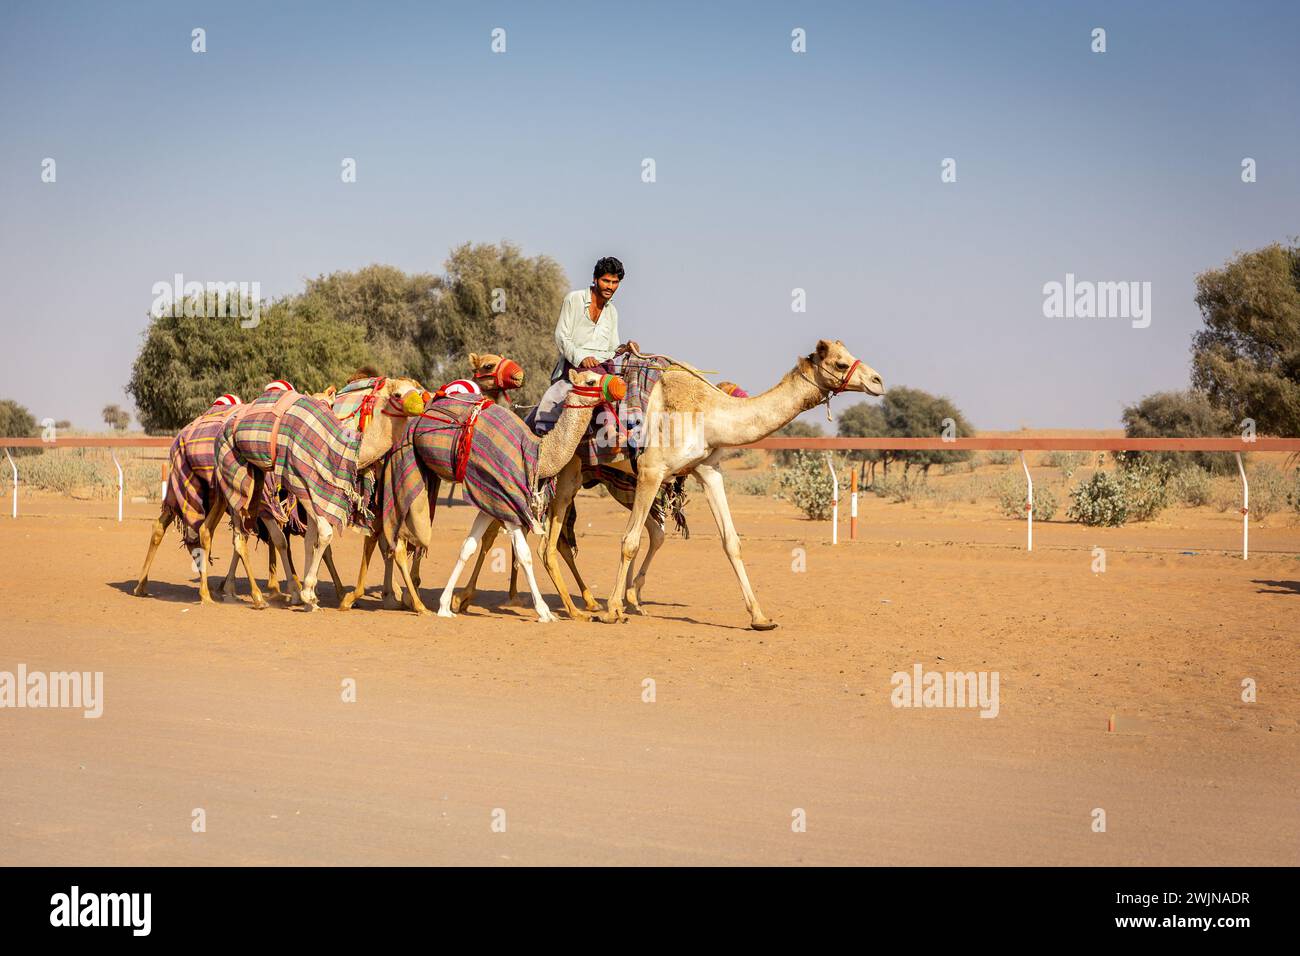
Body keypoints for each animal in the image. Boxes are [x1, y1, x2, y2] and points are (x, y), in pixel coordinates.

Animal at [586, 339, 883, 629]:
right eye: (840, 363)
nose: (877, 381)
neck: (707, 412)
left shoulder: (708, 471)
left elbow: (731, 542)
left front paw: (760, 617)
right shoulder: (651, 469)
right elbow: (630, 541)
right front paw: (612, 610)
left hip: (617, 480)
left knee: (652, 532)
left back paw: (630, 599)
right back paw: (602, 604)